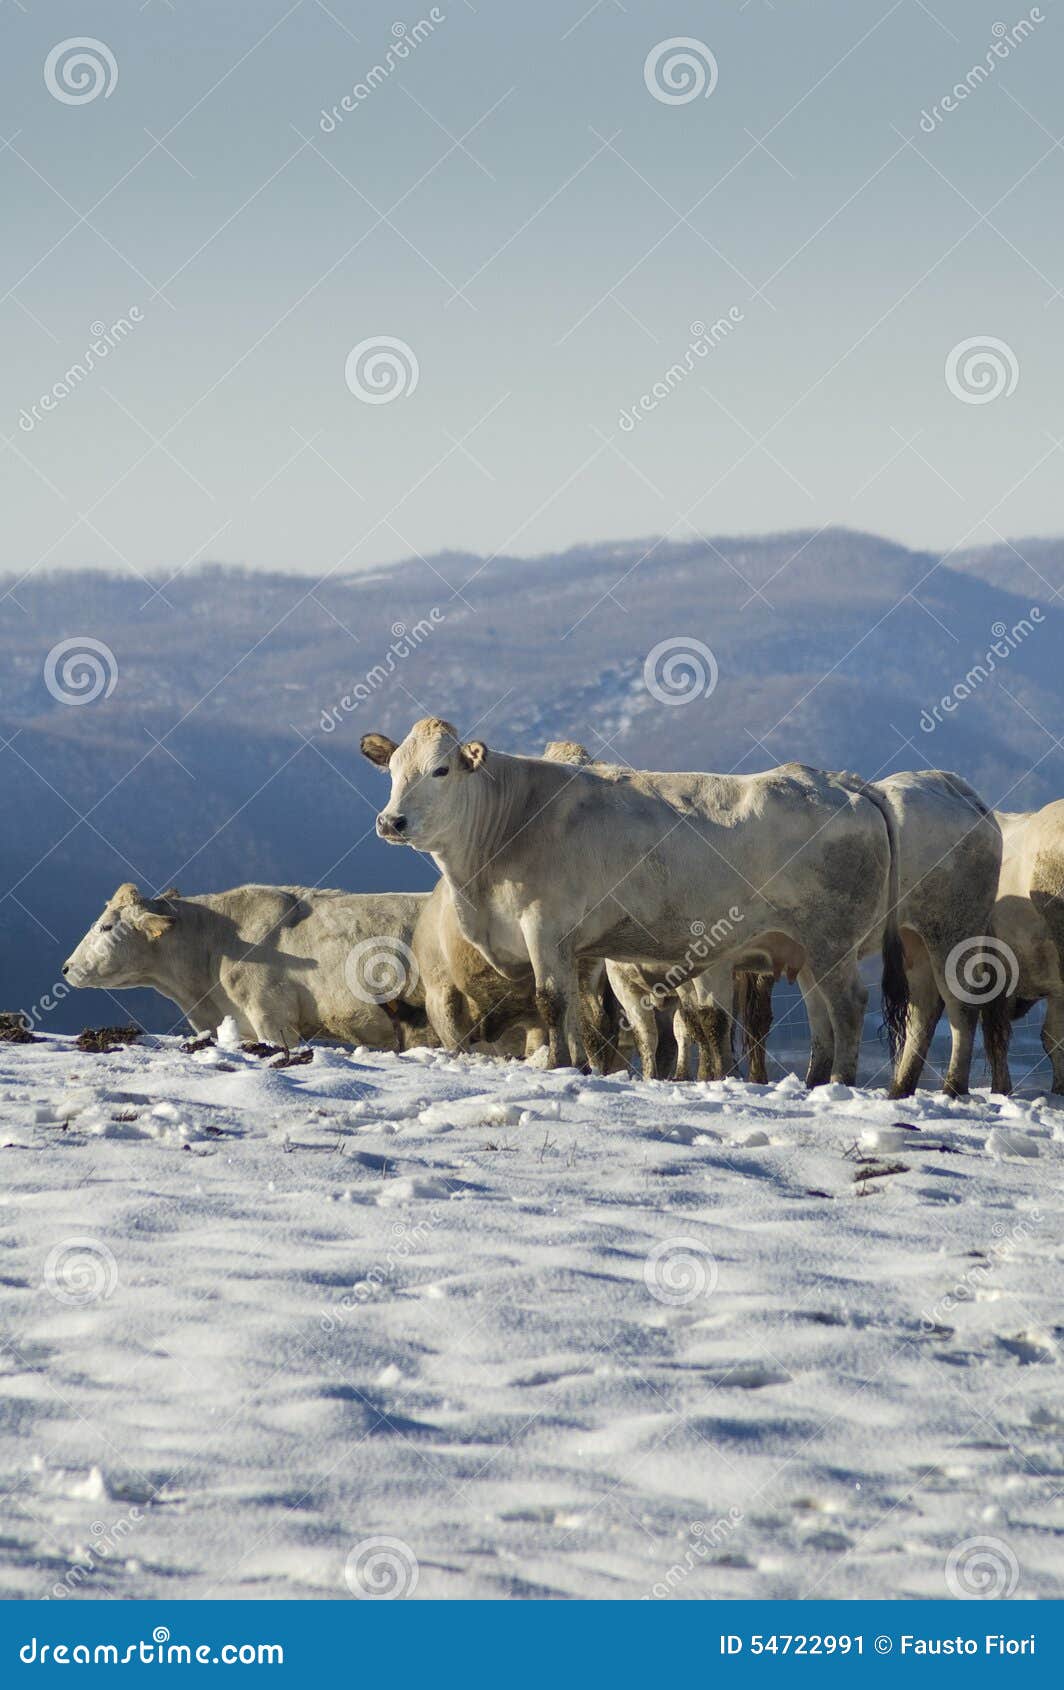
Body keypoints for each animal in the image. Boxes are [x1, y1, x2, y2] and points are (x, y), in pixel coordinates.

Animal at [360, 717, 908, 1085]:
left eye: (441, 770)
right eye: (392, 769)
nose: (391, 821)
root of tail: (841, 783)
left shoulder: (545, 927)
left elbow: (550, 1001)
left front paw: (559, 1066)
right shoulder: (580, 951)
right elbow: (582, 1016)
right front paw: (582, 1065)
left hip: (833, 940)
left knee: (847, 1007)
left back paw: (839, 1083)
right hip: (804, 950)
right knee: (821, 1016)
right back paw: (815, 1082)